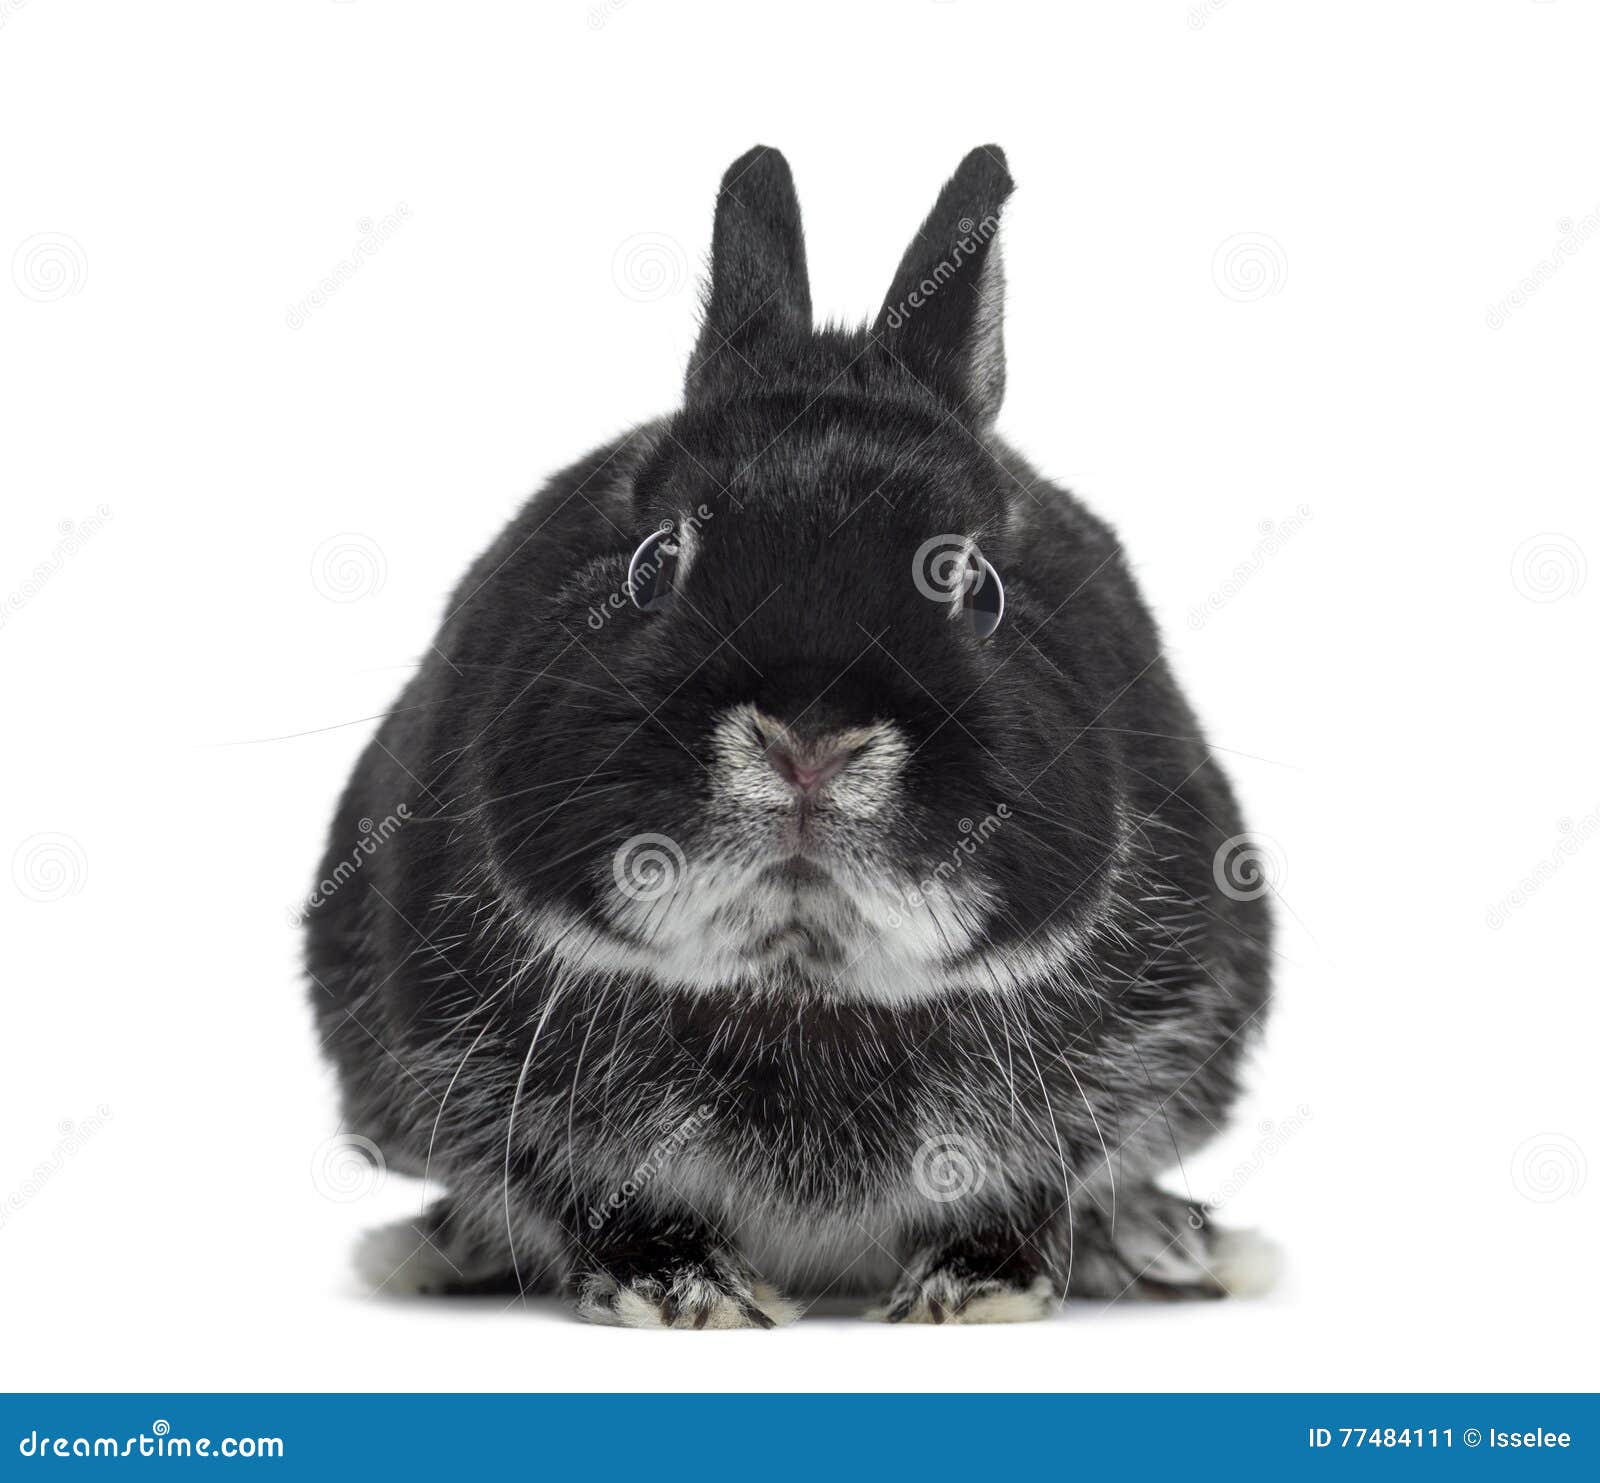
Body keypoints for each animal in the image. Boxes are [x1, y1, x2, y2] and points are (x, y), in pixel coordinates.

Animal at [306, 144, 1276, 1328]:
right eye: (652, 563)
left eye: (975, 584)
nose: (810, 735)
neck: (803, 993)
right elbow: (578, 1186)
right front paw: (683, 1288)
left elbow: (1042, 1176)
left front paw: (980, 1284)